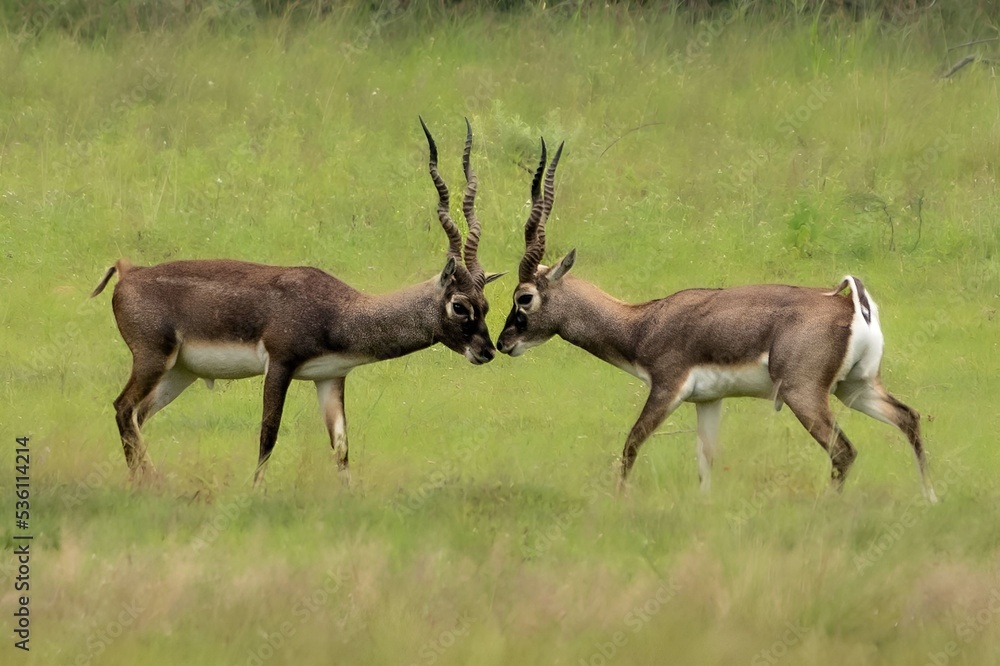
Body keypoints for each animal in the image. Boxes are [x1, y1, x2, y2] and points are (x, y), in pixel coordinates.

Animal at [91, 118, 501, 488]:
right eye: (460, 305)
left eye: (486, 305)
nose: (487, 351)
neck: (341, 311)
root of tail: (129, 272)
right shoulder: (280, 364)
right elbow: (268, 433)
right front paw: (255, 492)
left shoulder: (330, 377)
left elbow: (341, 447)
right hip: (152, 358)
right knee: (123, 409)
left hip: (179, 372)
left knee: (138, 416)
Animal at [496, 141, 937, 502]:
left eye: (524, 297)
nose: (502, 343)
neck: (644, 323)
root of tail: (849, 306)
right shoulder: (708, 400)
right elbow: (705, 459)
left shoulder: (667, 388)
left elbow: (631, 444)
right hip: (855, 387)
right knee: (909, 418)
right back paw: (930, 499)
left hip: (805, 393)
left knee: (844, 451)